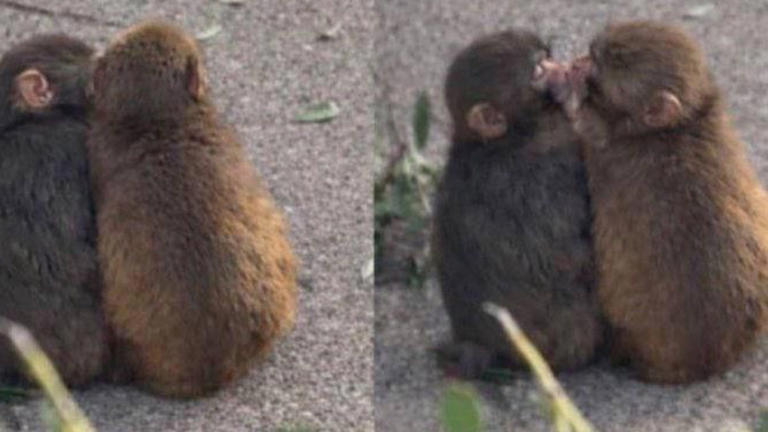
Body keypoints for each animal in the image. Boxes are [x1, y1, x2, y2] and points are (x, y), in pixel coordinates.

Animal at [431, 29, 604, 379]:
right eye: (538, 70)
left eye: (548, 57)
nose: (567, 69)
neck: (497, 142)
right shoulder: (546, 168)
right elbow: (572, 250)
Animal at [556, 21, 768, 383]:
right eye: (594, 54)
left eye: (603, 65)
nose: (581, 61)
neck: (678, 126)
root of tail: (708, 361)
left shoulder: (607, 152)